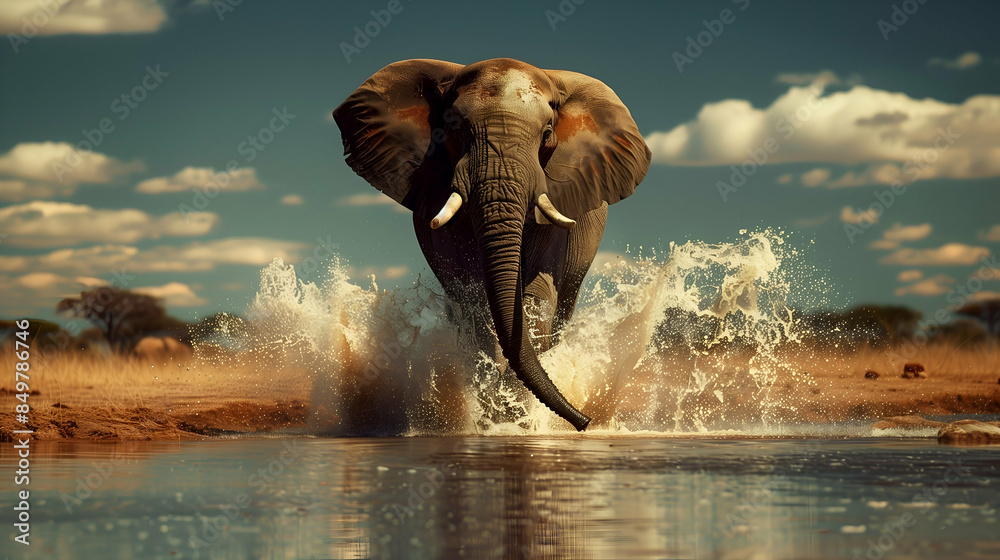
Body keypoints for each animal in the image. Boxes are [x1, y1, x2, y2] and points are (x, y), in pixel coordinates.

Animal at [333, 58, 650, 431]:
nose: (585, 422)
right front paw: (494, 420)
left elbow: (536, 296)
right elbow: (473, 297)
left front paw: (515, 421)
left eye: (547, 133)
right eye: (454, 127)